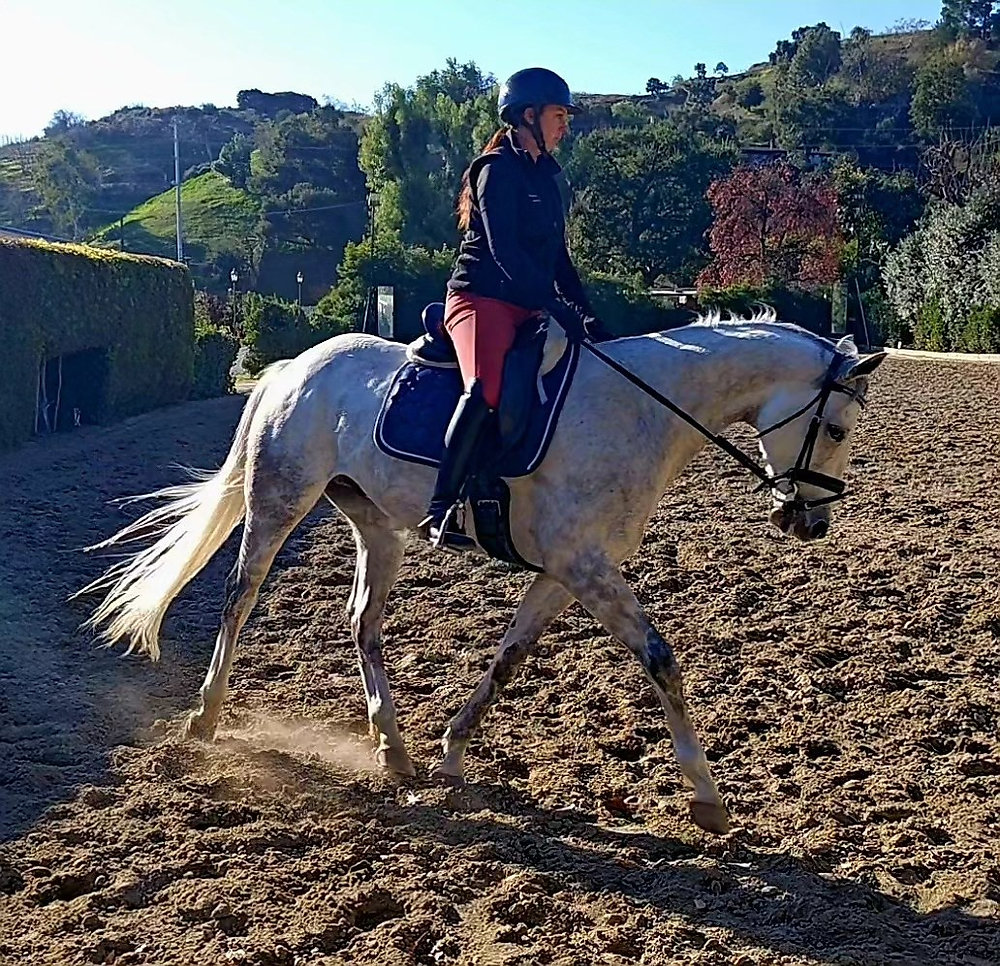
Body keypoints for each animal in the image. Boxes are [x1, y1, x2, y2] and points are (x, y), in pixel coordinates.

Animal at [79, 310, 885, 835]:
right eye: (836, 427)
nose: (809, 523)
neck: (636, 411)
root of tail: (296, 366)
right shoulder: (585, 567)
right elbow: (660, 659)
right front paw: (708, 796)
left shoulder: (564, 572)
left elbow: (507, 660)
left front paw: (449, 755)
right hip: (278, 500)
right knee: (239, 600)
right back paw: (207, 718)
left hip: (377, 524)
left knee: (363, 622)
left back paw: (393, 747)